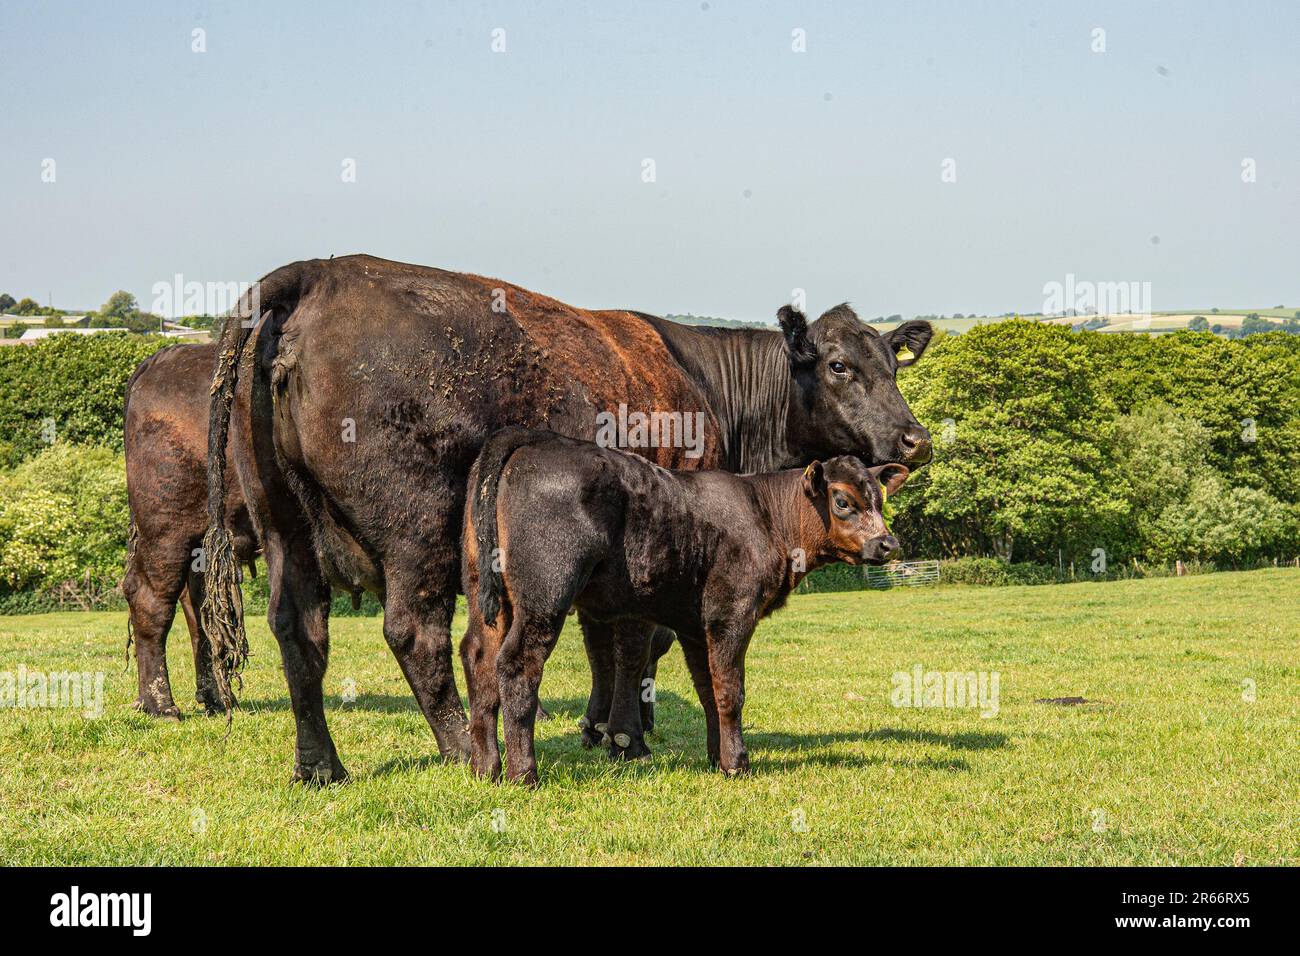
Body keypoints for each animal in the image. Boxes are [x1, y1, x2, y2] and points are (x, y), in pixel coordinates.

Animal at [463, 426, 909, 784]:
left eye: (879, 499)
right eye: (842, 501)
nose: (888, 544)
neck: (766, 515)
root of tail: (534, 438)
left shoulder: (697, 626)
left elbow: (708, 690)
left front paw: (718, 758)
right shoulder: (732, 613)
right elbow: (730, 691)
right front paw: (738, 764)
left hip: (487, 595)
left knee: (478, 657)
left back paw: (486, 768)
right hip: (546, 593)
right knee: (517, 665)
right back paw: (523, 773)